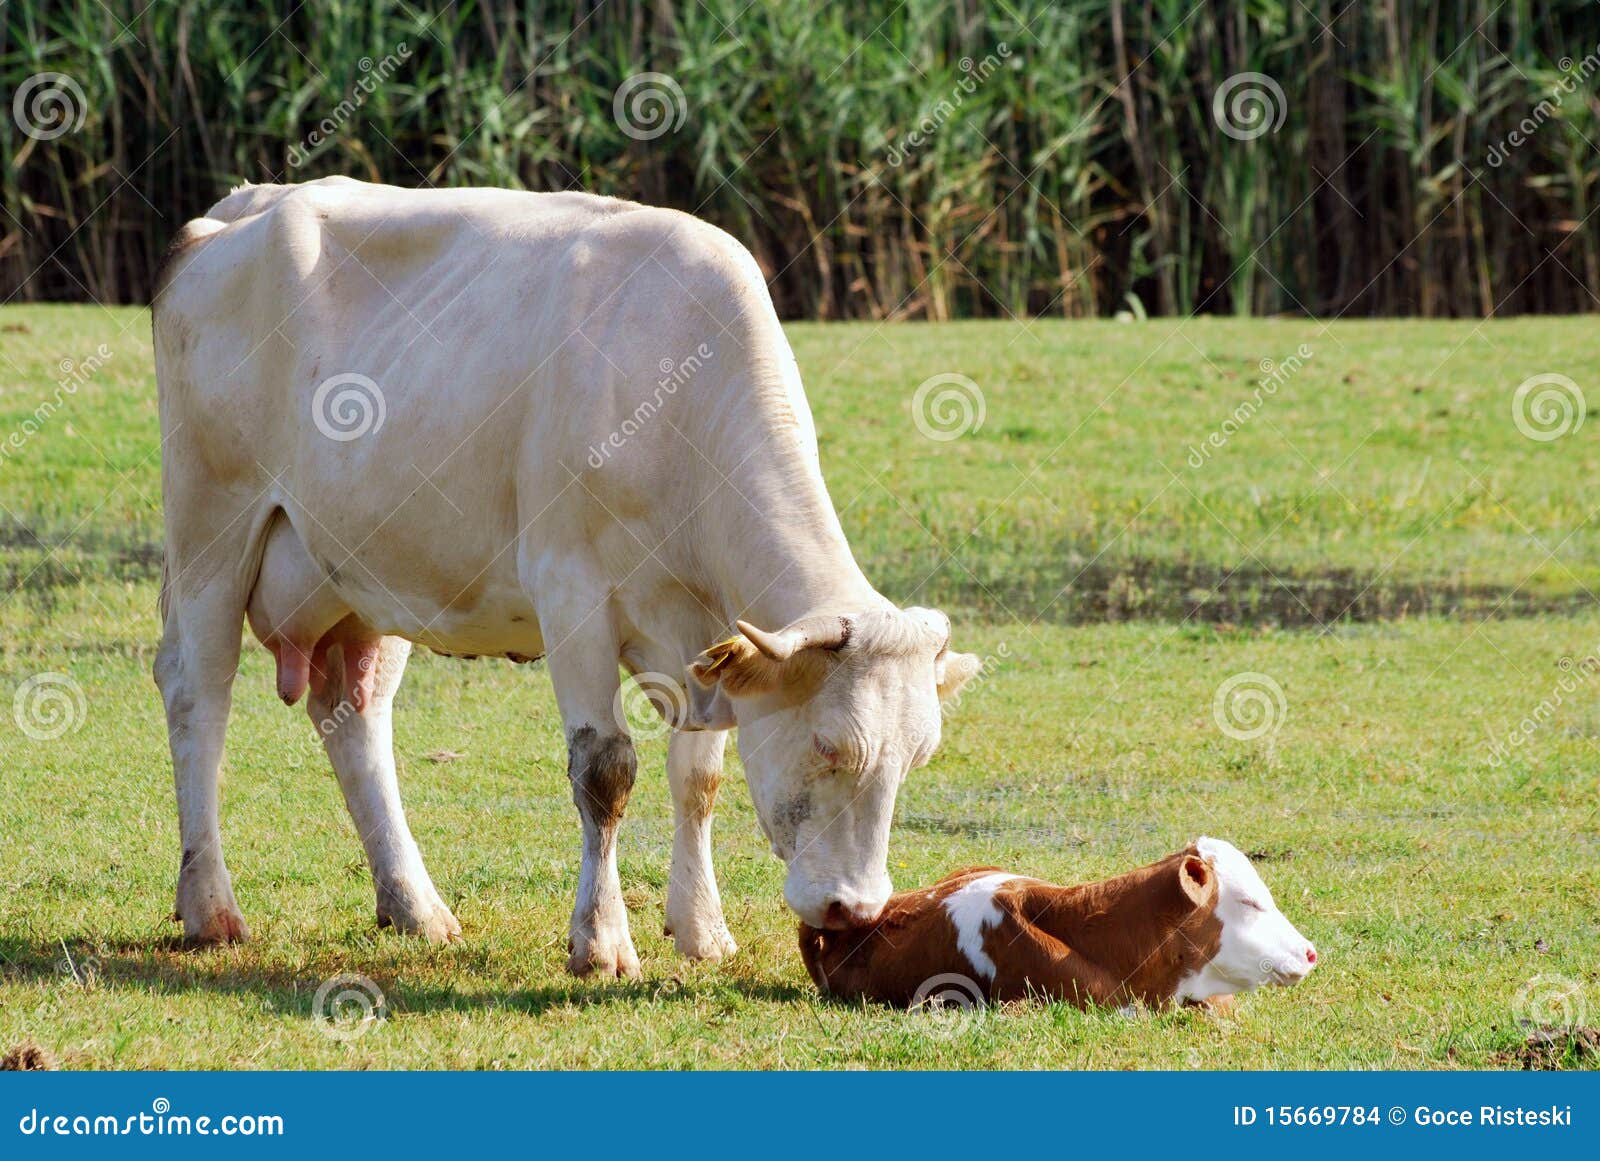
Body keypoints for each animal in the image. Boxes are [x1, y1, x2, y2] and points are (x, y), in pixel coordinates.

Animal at [151, 177, 980, 978]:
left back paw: (415, 905)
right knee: (199, 692)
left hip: (368, 568)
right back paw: (211, 907)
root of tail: (240, 207)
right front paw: (603, 941)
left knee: (355, 713)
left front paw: (702, 929)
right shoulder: (572, 593)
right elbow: (605, 771)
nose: (856, 909)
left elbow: (700, 775)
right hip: (210, 528)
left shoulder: (710, 639)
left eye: (918, 757)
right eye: (830, 747)